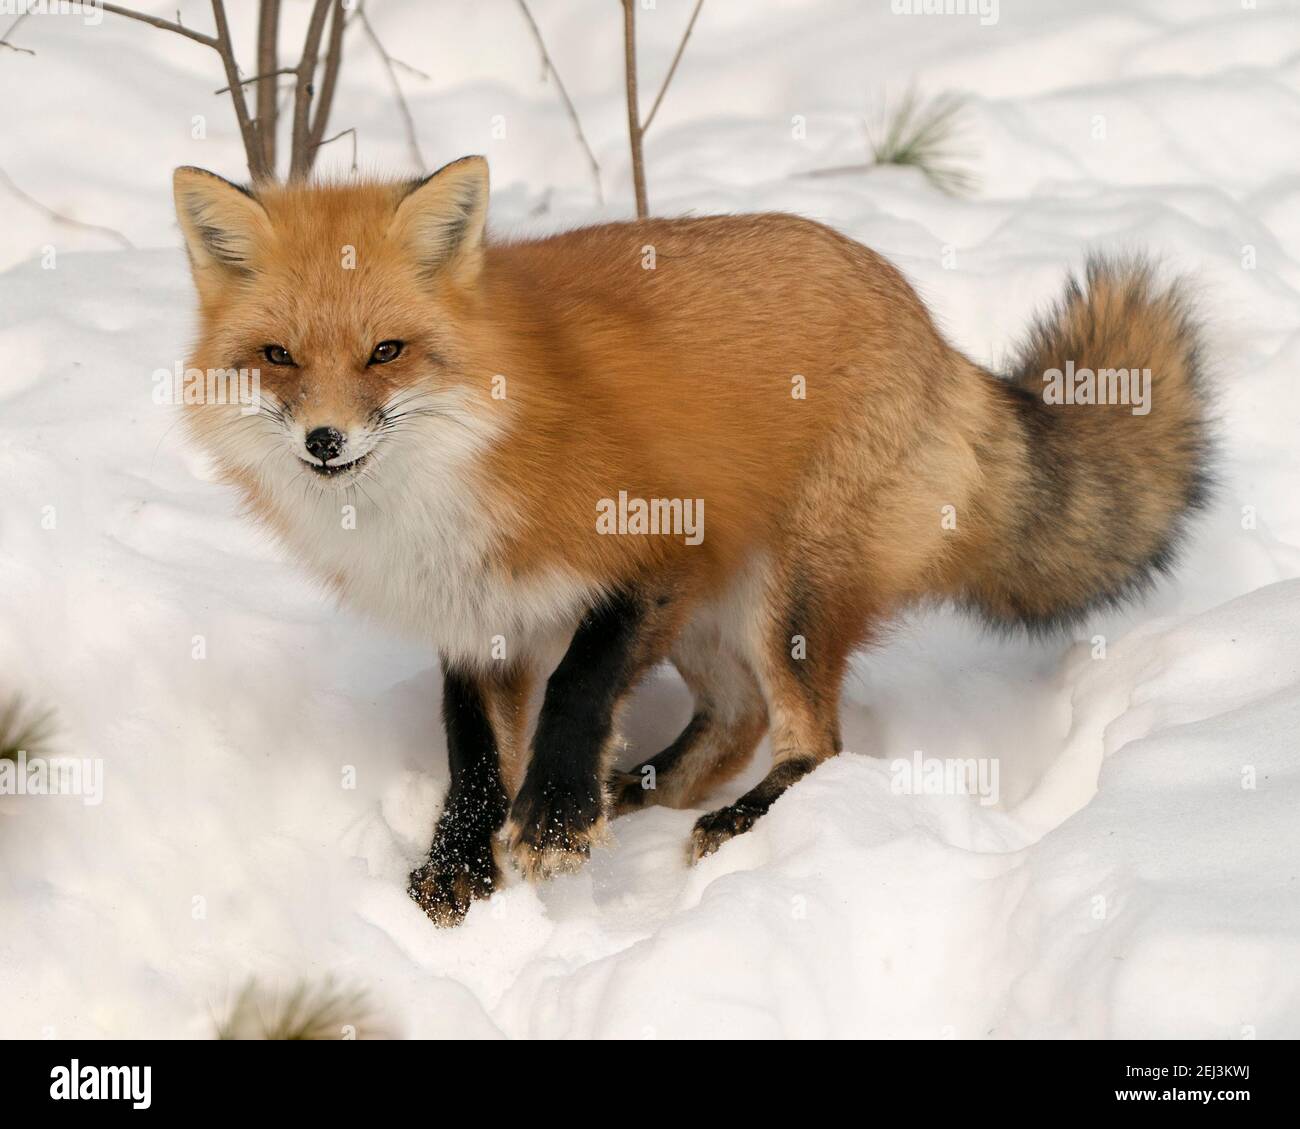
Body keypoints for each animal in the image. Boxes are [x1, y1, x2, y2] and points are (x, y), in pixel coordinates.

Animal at [173, 155, 1211, 927]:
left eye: (386, 351)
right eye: (278, 358)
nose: (324, 440)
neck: (455, 471)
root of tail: (939, 339)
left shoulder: (660, 544)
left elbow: (578, 684)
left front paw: (553, 816)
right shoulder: (473, 617)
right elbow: (470, 752)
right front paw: (463, 861)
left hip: (781, 598)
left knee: (814, 739)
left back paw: (729, 815)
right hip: (722, 617)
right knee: (735, 720)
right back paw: (632, 789)